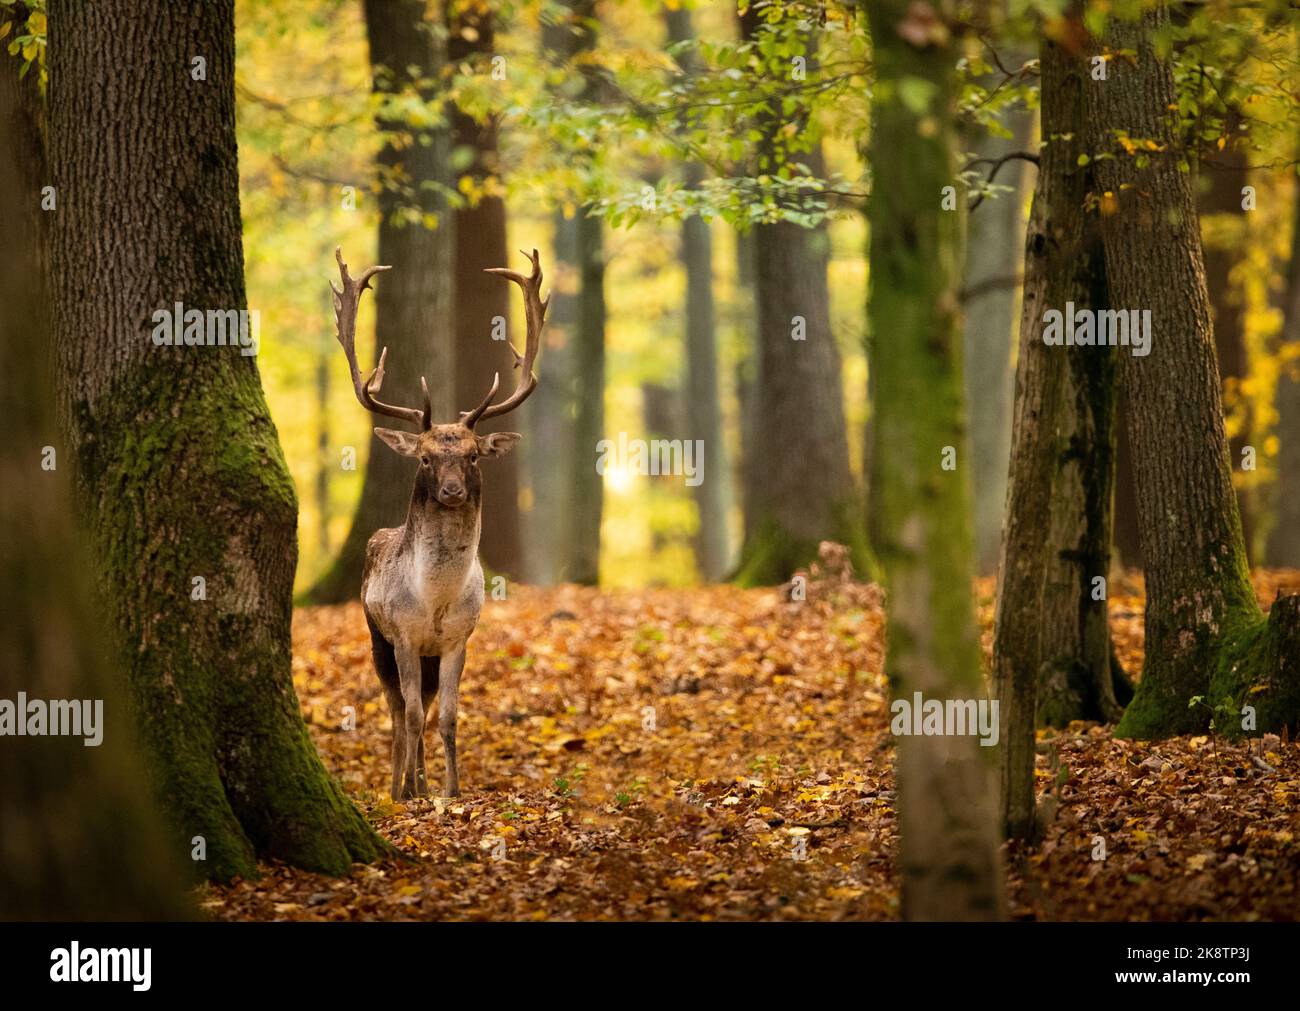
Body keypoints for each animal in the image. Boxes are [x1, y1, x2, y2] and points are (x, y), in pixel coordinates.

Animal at [329, 246, 548, 800]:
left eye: (472, 456)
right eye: (426, 458)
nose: (451, 491)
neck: (434, 600)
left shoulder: (456, 640)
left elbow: (447, 716)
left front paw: (451, 790)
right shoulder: (404, 636)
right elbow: (407, 715)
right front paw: (411, 792)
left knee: (423, 707)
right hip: (376, 638)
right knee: (395, 709)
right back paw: (400, 785)